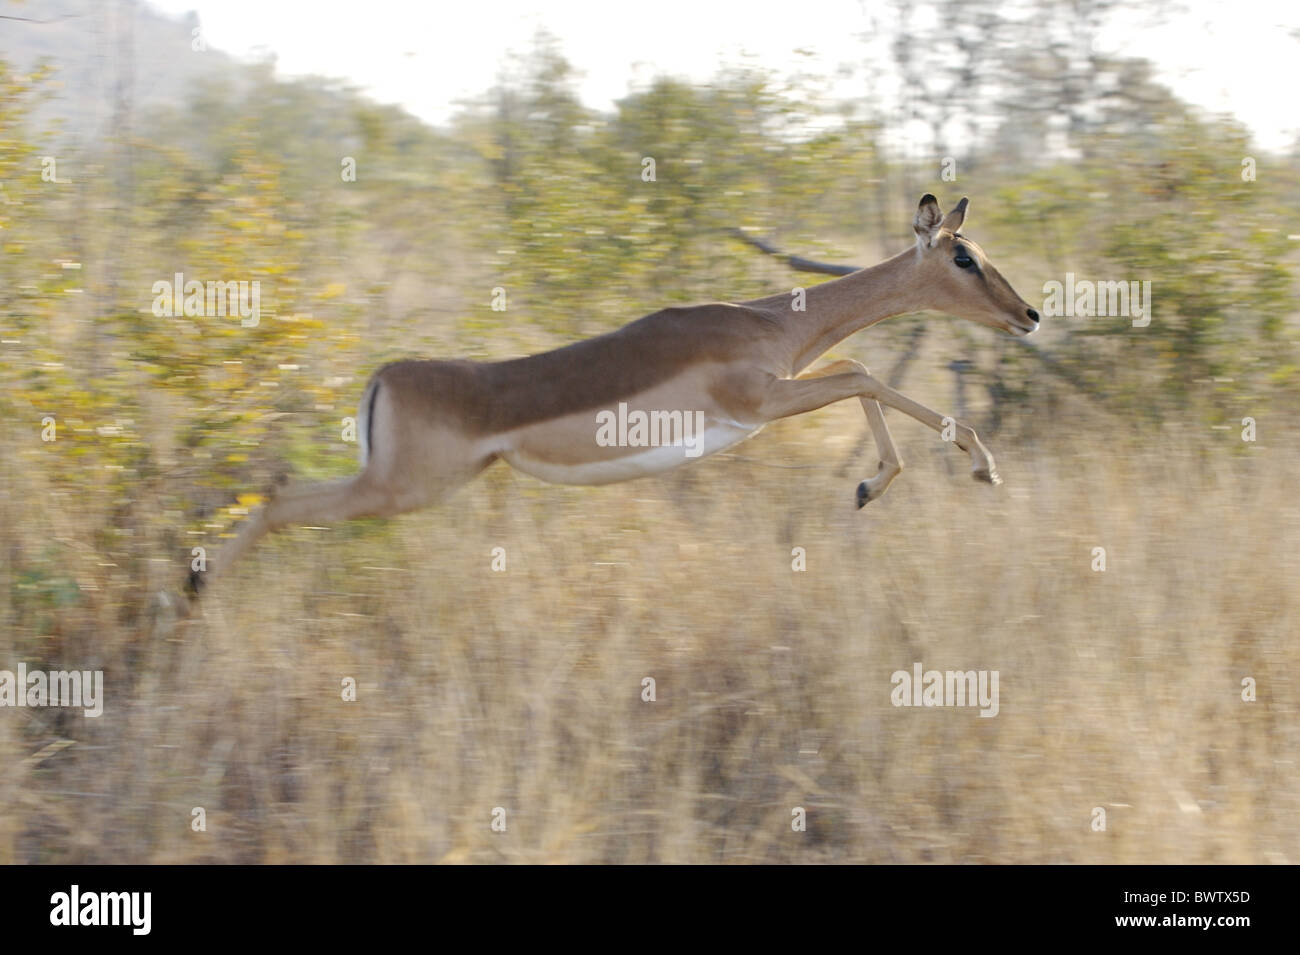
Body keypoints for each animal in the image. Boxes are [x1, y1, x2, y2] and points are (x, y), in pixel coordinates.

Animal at [190, 194, 1037, 592]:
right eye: (962, 256)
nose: (1029, 313)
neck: (767, 320)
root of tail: (384, 376)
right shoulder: (758, 404)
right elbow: (862, 371)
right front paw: (978, 465)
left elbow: (860, 368)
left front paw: (870, 484)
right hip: (400, 488)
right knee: (276, 502)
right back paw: (189, 598)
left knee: (274, 497)